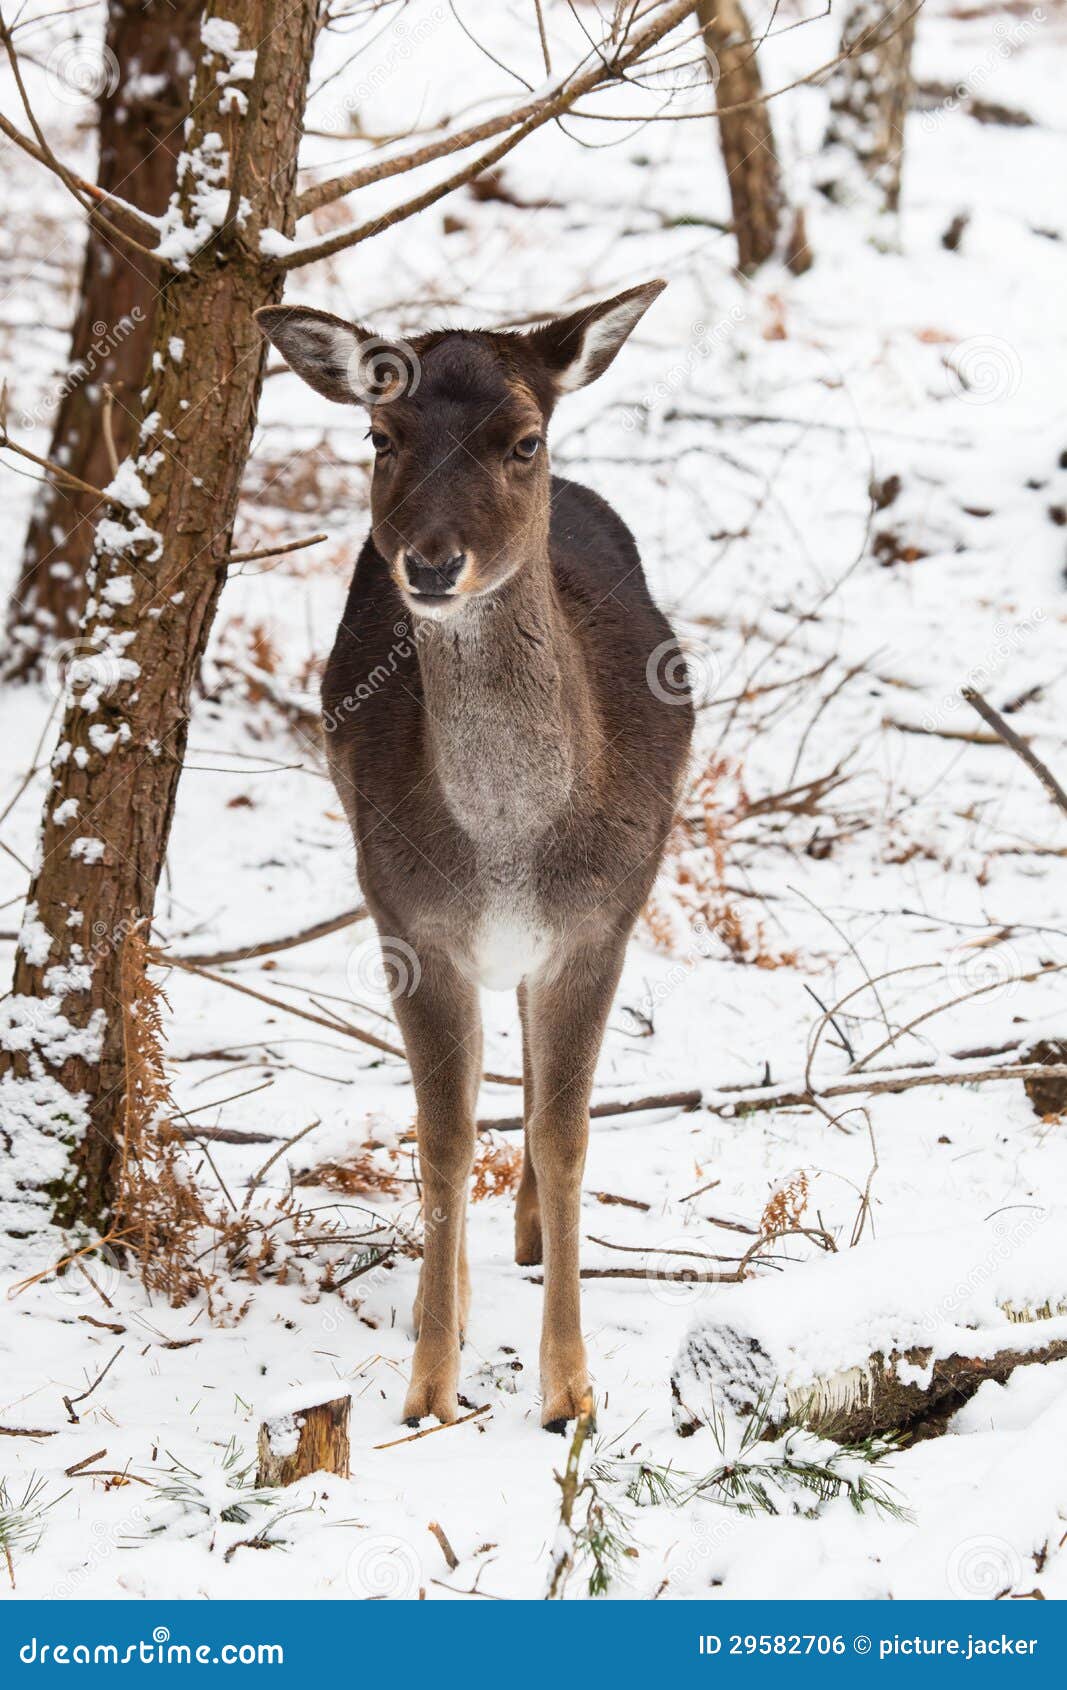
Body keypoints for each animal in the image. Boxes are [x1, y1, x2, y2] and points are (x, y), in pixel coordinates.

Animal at [256, 282, 693, 1431]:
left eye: (522, 438)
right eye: (380, 433)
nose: (431, 562)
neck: (504, 847)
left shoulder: (597, 924)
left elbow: (566, 1132)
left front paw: (569, 1391)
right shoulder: (409, 923)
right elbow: (444, 1134)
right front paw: (427, 1383)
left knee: (539, 1086)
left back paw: (532, 1236)